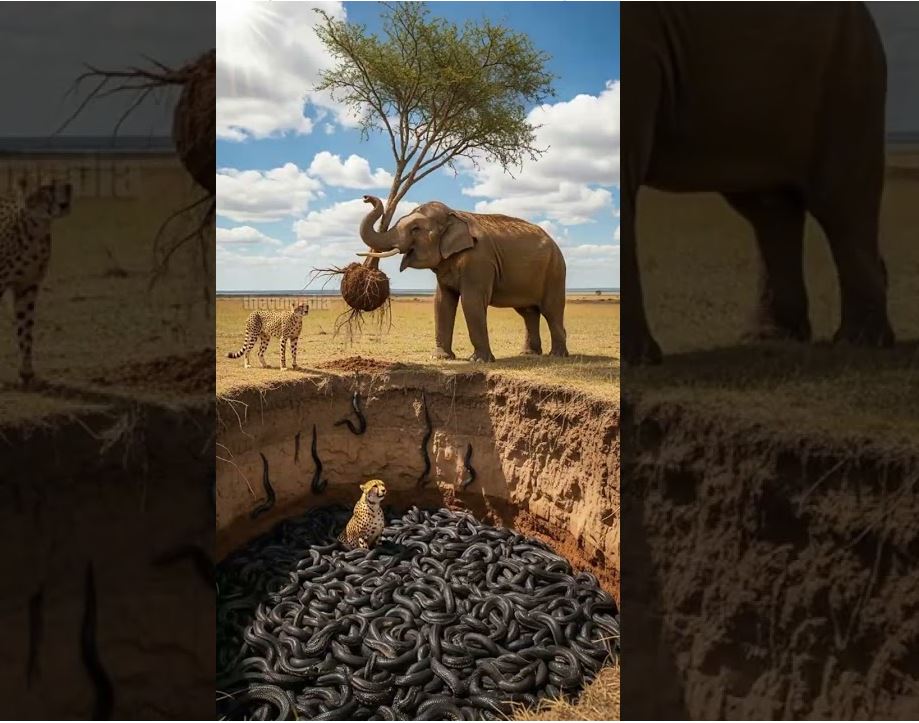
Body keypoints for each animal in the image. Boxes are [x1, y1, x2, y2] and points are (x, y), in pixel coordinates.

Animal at [358, 195, 569, 362]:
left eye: (415, 229)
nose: (366, 197)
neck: (455, 214)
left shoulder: (478, 261)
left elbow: (471, 302)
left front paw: (479, 361)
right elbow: (442, 302)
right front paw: (440, 357)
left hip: (555, 271)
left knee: (551, 310)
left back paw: (557, 355)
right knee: (528, 312)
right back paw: (529, 354)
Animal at [622, 2, 894, 364]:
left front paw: (637, 363)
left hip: (847, 76)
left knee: (840, 203)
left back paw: (858, 343)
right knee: (770, 209)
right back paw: (770, 339)